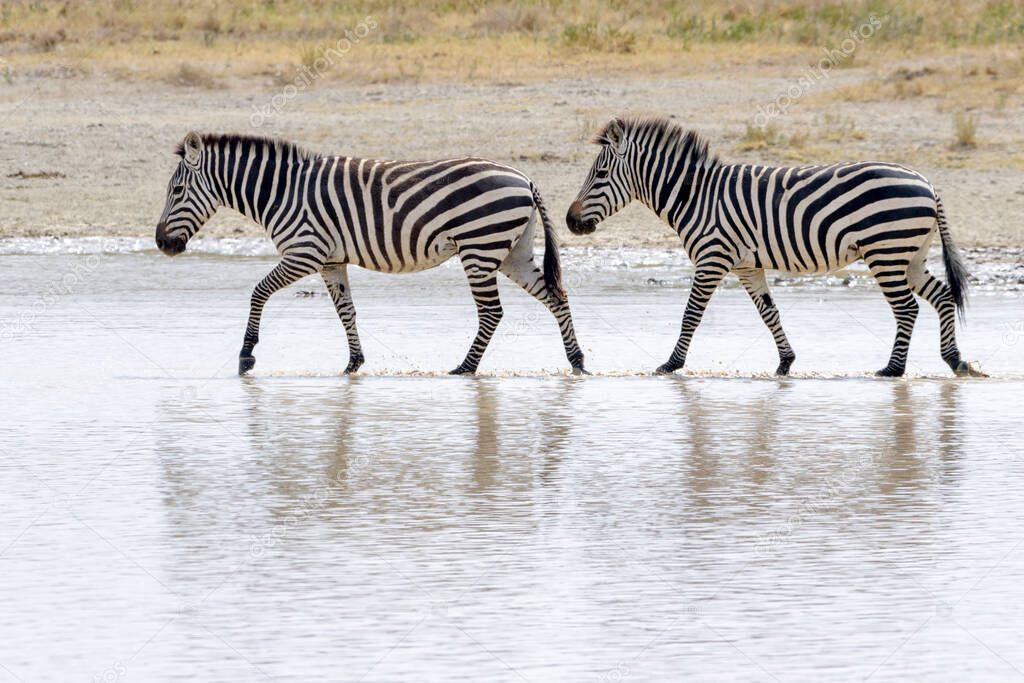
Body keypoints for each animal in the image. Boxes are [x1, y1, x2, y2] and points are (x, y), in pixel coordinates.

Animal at [155, 132, 586, 375]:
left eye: (176, 192)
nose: (161, 244)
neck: (281, 191)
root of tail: (525, 178)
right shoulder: (331, 260)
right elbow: (346, 311)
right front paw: (354, 363)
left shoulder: (305, 252)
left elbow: (258, 291)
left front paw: (246, 356)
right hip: (514, 251)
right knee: (556, 296)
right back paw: (577, 361)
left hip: (479, 248)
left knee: (493, 313)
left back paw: (466, 368)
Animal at [566, 116, 973, 377]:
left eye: (600, 175)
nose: (570, 221)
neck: (694, 196)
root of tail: (928, 184)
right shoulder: (747, 265)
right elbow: (769, 313)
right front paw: (786, 362)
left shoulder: (712, 257)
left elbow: (691, 314)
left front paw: (671, 364)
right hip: (910, 255)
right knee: (942, 296)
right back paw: (955, 360)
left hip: (885, 251)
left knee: (907, 309)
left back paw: (893, 369)